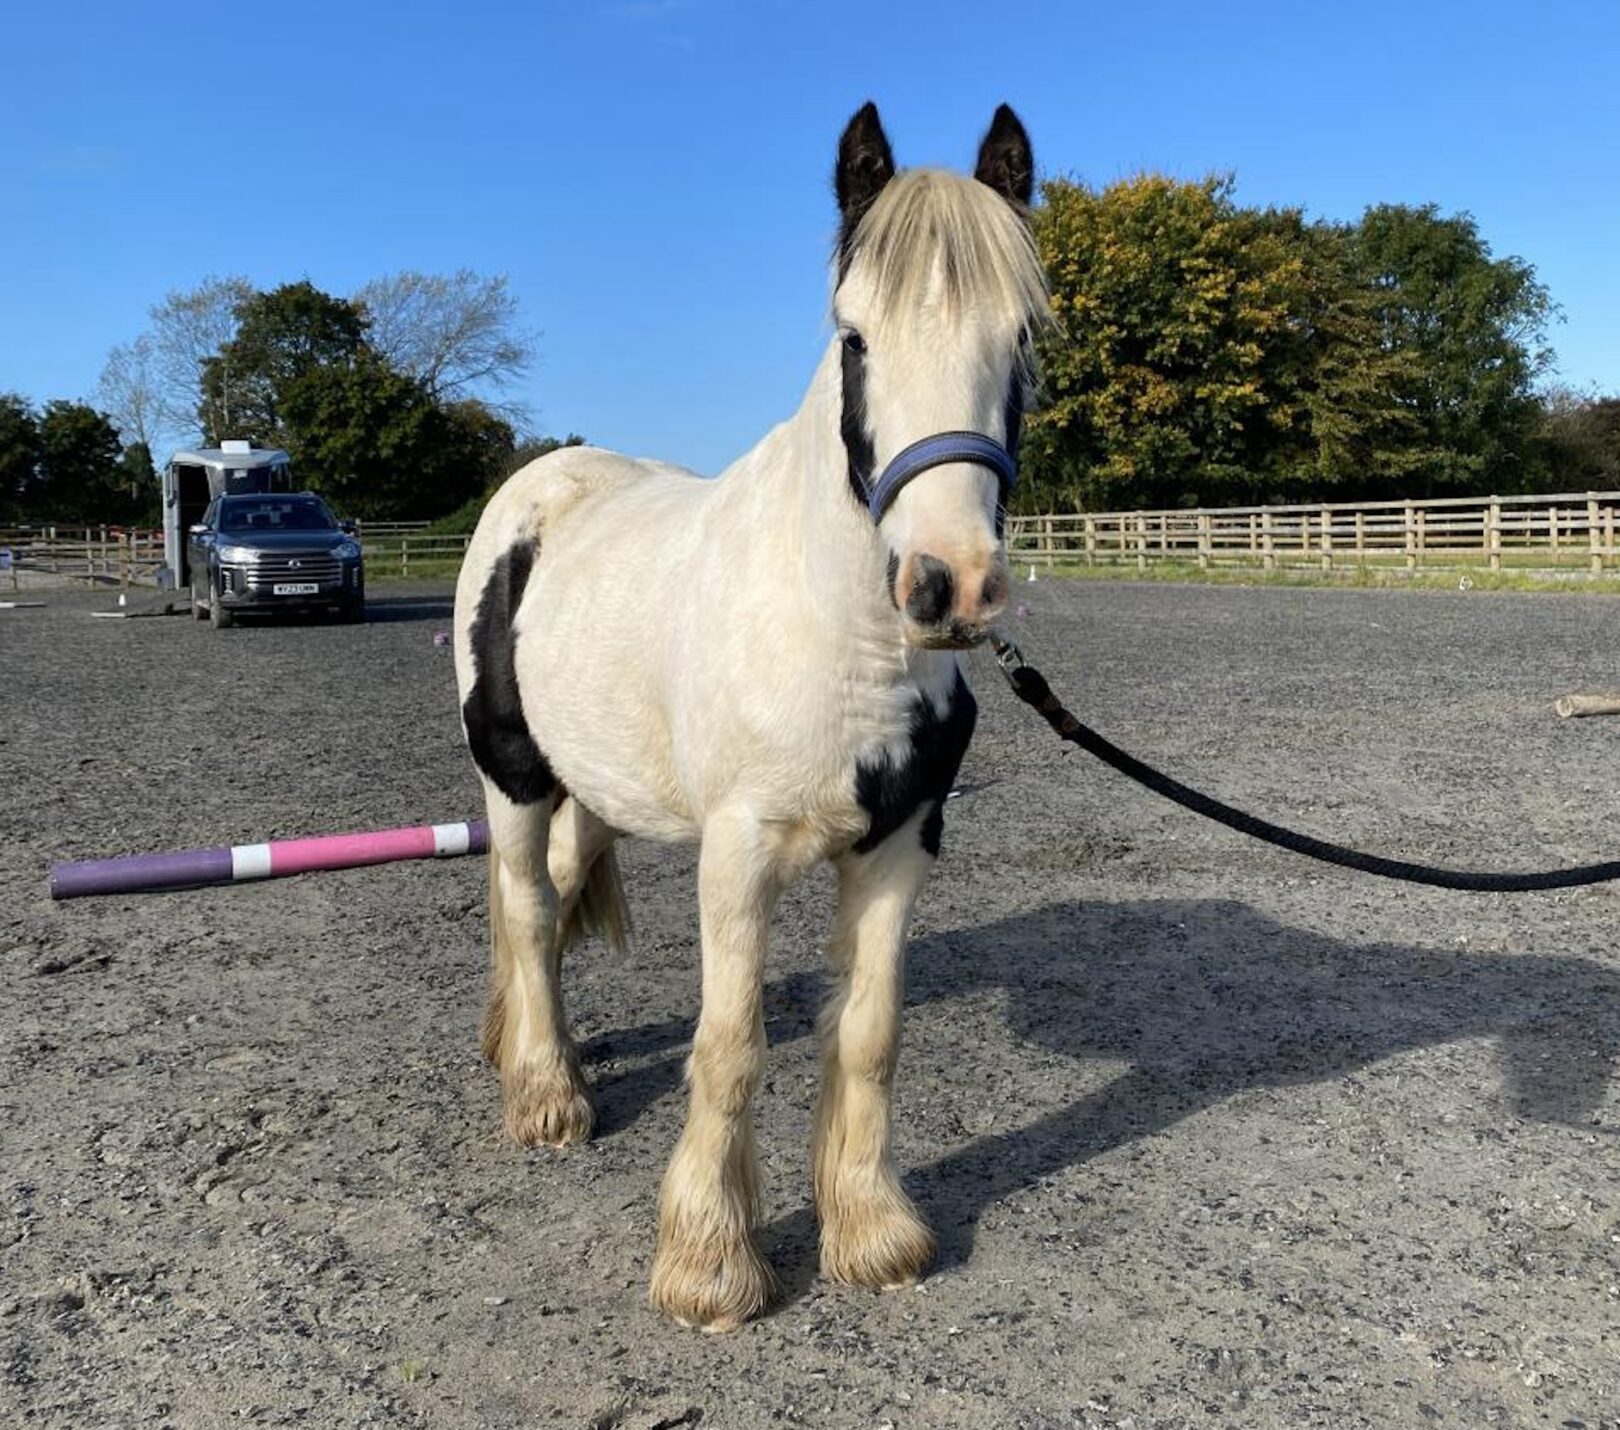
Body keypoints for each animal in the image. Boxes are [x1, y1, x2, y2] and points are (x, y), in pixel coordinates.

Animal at [452, 101, 1047, 1331]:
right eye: (856, 339)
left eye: (1018, 338)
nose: (949, 585)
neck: (842, 636)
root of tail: (537, 490)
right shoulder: (739, 852)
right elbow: (729, 1044)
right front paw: (710, 1264)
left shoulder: (898, 845)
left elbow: (867, 1033)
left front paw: (871, 1231)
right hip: (515, 776)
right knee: (527, 909)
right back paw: (546, 1094)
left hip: (596, 783)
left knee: (557, 897)